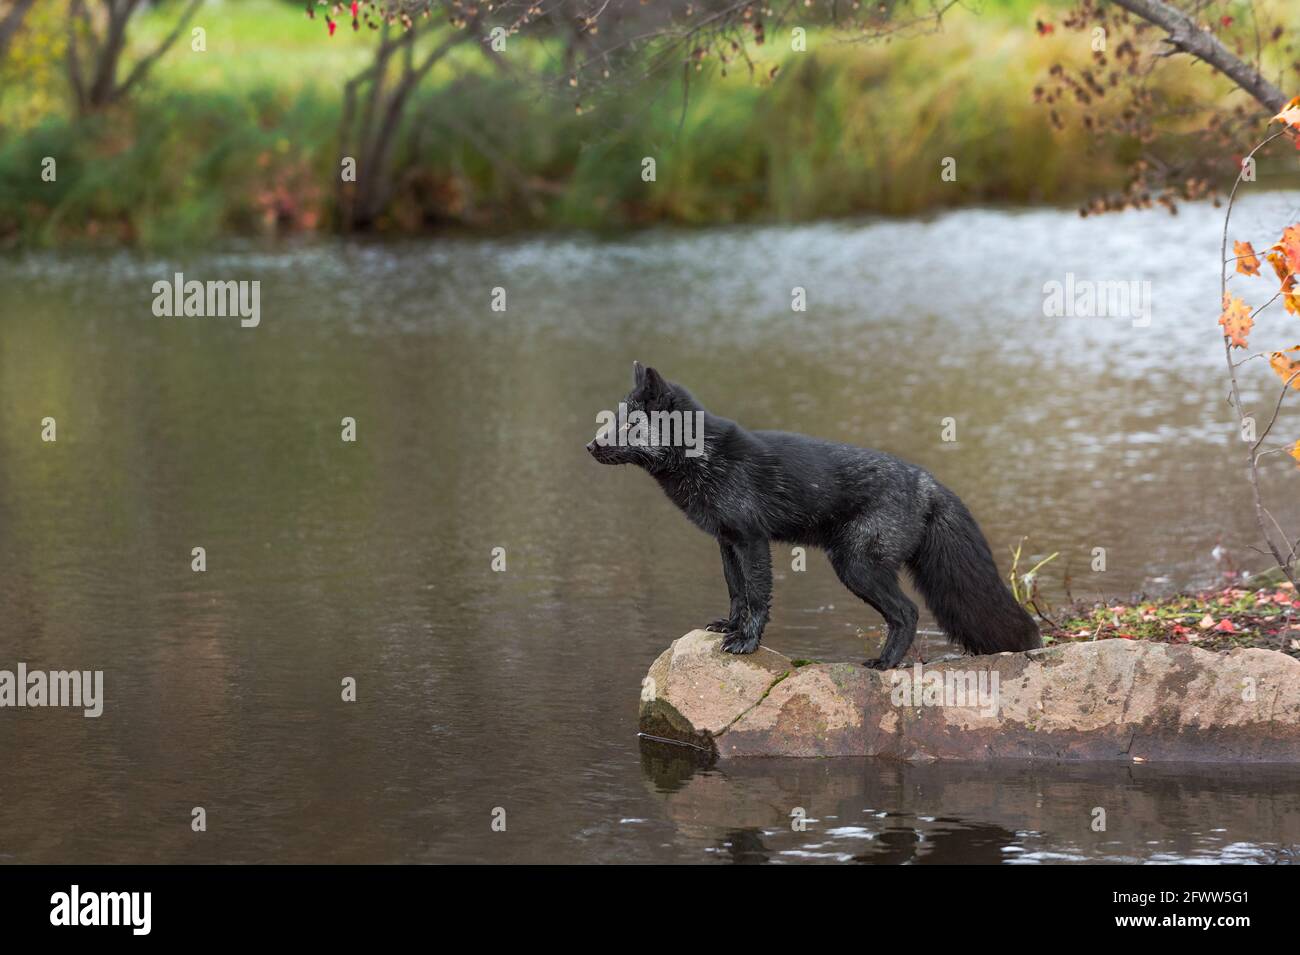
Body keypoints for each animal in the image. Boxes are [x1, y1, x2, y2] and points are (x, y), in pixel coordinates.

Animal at [586, 362, 1042, 669]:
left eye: (628, 426)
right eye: (611, 421)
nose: (590, 447)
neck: (705, 460)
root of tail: (928, 482)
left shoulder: (752, 539)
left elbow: (757, 594)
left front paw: (747, 643)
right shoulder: (726, 541)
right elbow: (736, 591)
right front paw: (730, 628)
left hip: (856, 565)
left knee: (908, 612)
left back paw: (884, 664)